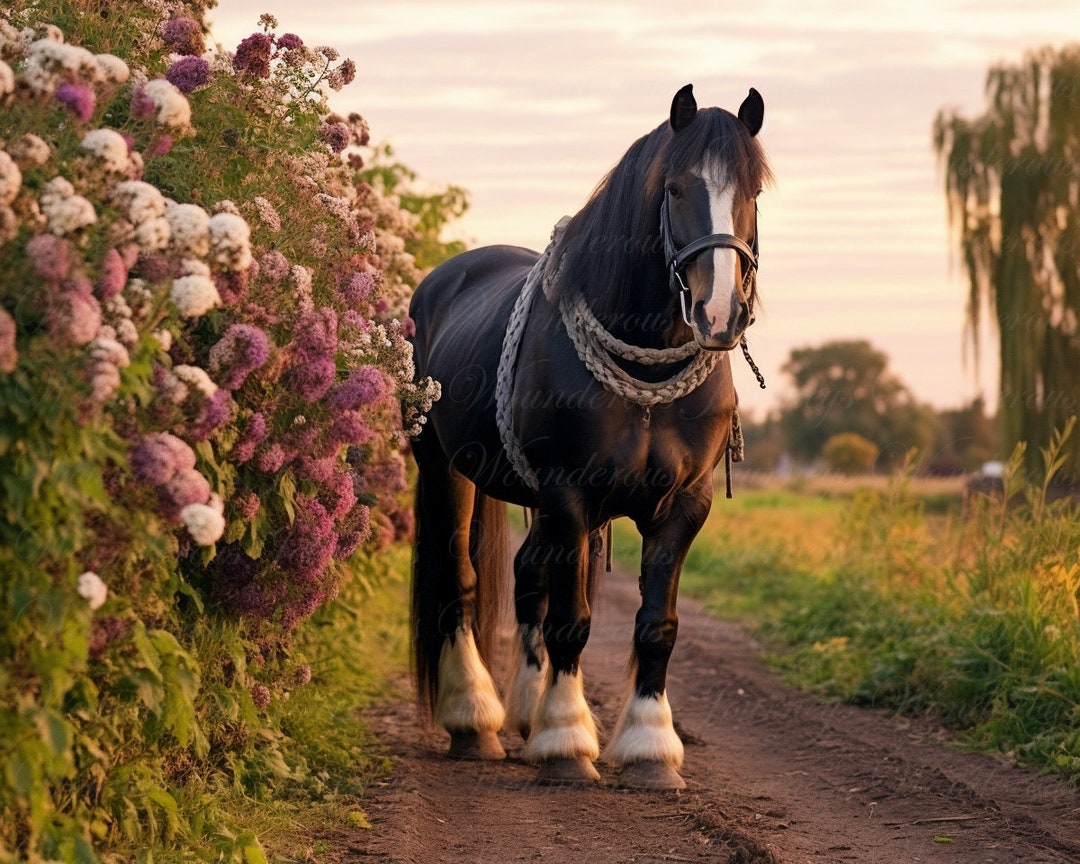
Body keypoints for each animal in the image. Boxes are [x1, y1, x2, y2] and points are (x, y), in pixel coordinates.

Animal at [406, 83, 771, 789]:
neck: (645, 369)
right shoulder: (568, 494)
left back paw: (523, 710)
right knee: (461, 582)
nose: (718, 312)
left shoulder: (685, 504)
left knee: (527, 576)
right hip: (444, 469)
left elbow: (657, 625)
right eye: (676, 188)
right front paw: (568, 742)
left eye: (754, 190)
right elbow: (571, 623)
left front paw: (650, 747)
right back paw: (475, 719)